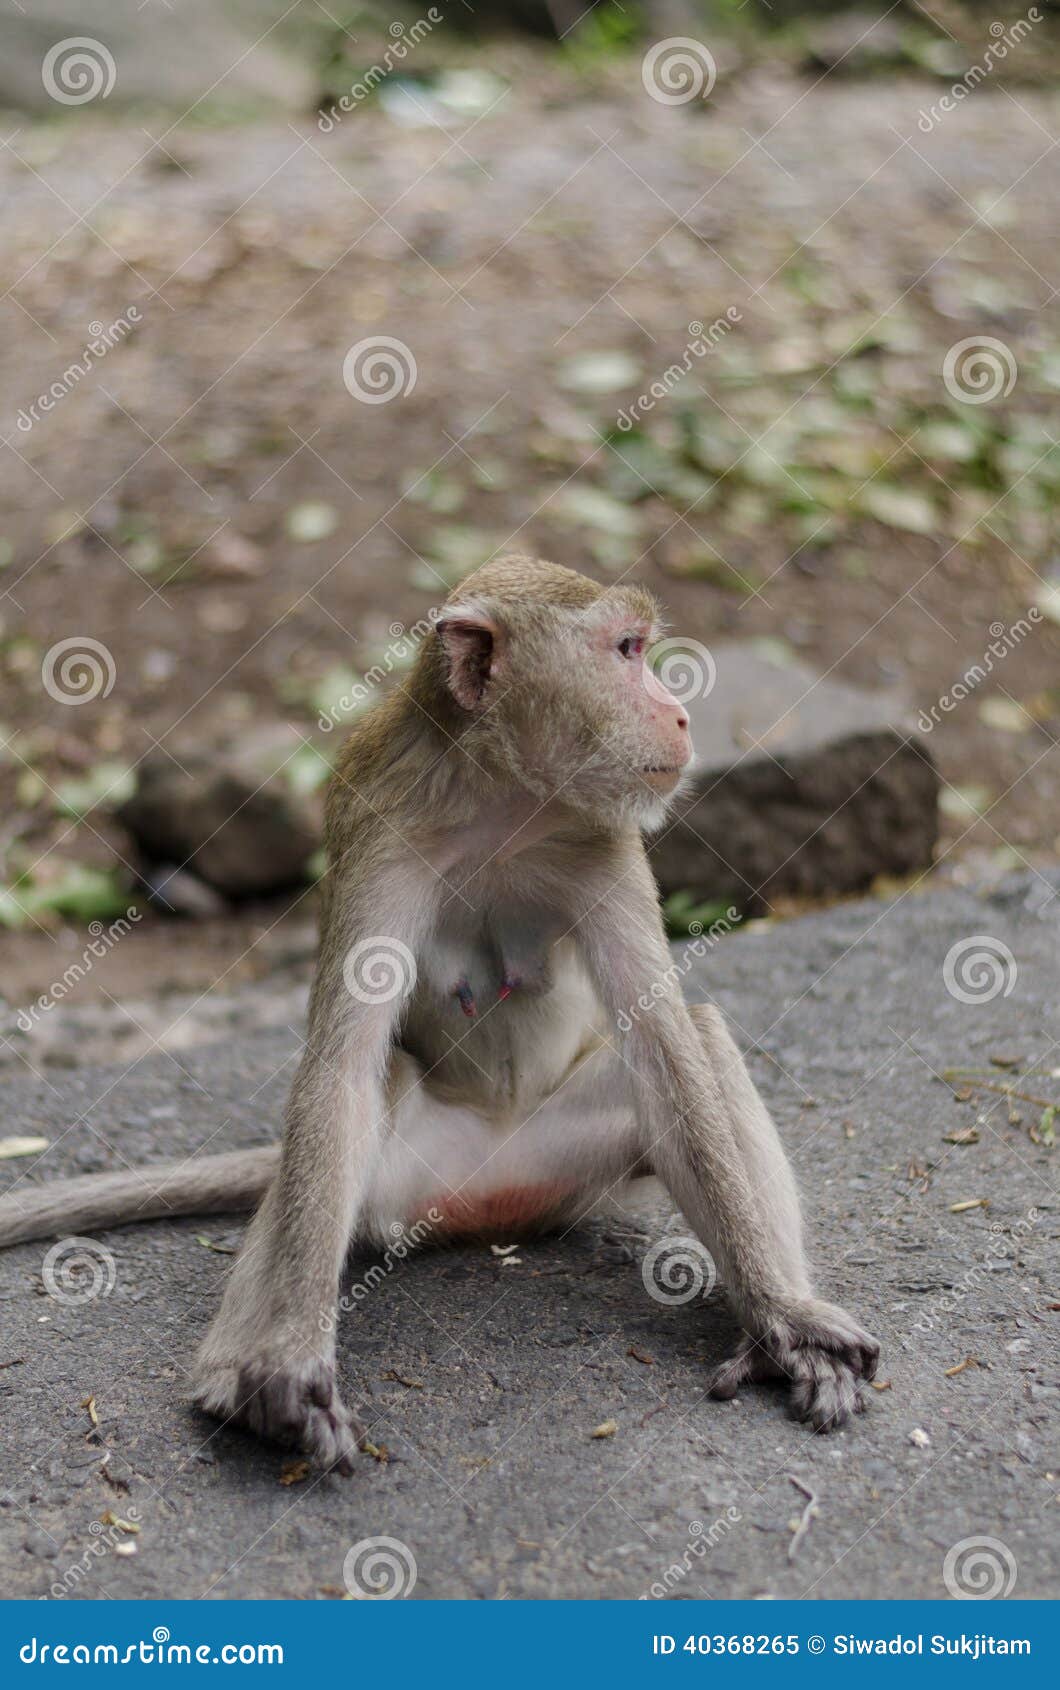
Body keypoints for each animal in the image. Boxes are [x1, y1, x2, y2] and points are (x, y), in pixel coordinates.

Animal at [0, 556, 879, 1470]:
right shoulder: (380, 833)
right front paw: (288, 1365)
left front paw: (783, 1317)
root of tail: (487, 1193)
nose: (678, 713)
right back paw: (237, 1380)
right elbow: (341, 1070)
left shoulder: (604, 841)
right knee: (356, 1104)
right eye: (626, 650)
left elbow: (668, 1051)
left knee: (698, 1041)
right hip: (400, 1181)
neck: (500, 800)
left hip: (565, 1163)